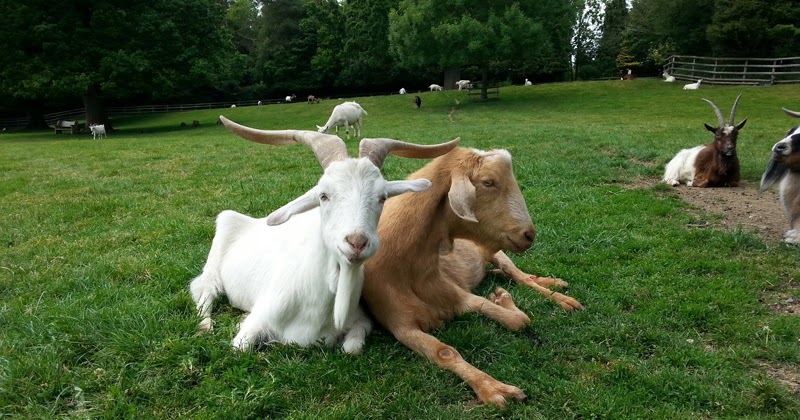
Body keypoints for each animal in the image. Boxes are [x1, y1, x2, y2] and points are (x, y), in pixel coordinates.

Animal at [190, 116, 460, 353]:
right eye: (323, 195)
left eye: (382, 197)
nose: (357, 242)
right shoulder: (258, 320)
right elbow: (240, 348)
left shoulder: (360, 320)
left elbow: (352, 349)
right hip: (218, 249)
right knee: (204, 290)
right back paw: (205, 325)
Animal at [362, 147, 584, 407]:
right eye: (488, 182)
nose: (529, 235)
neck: (410, 273)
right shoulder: (401, 325)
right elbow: (444, 352)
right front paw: (494, 389)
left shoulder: (461, 296)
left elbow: (519, 321)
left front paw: (504, 301)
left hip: (499, 252)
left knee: (518, 276)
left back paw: (560, 295)